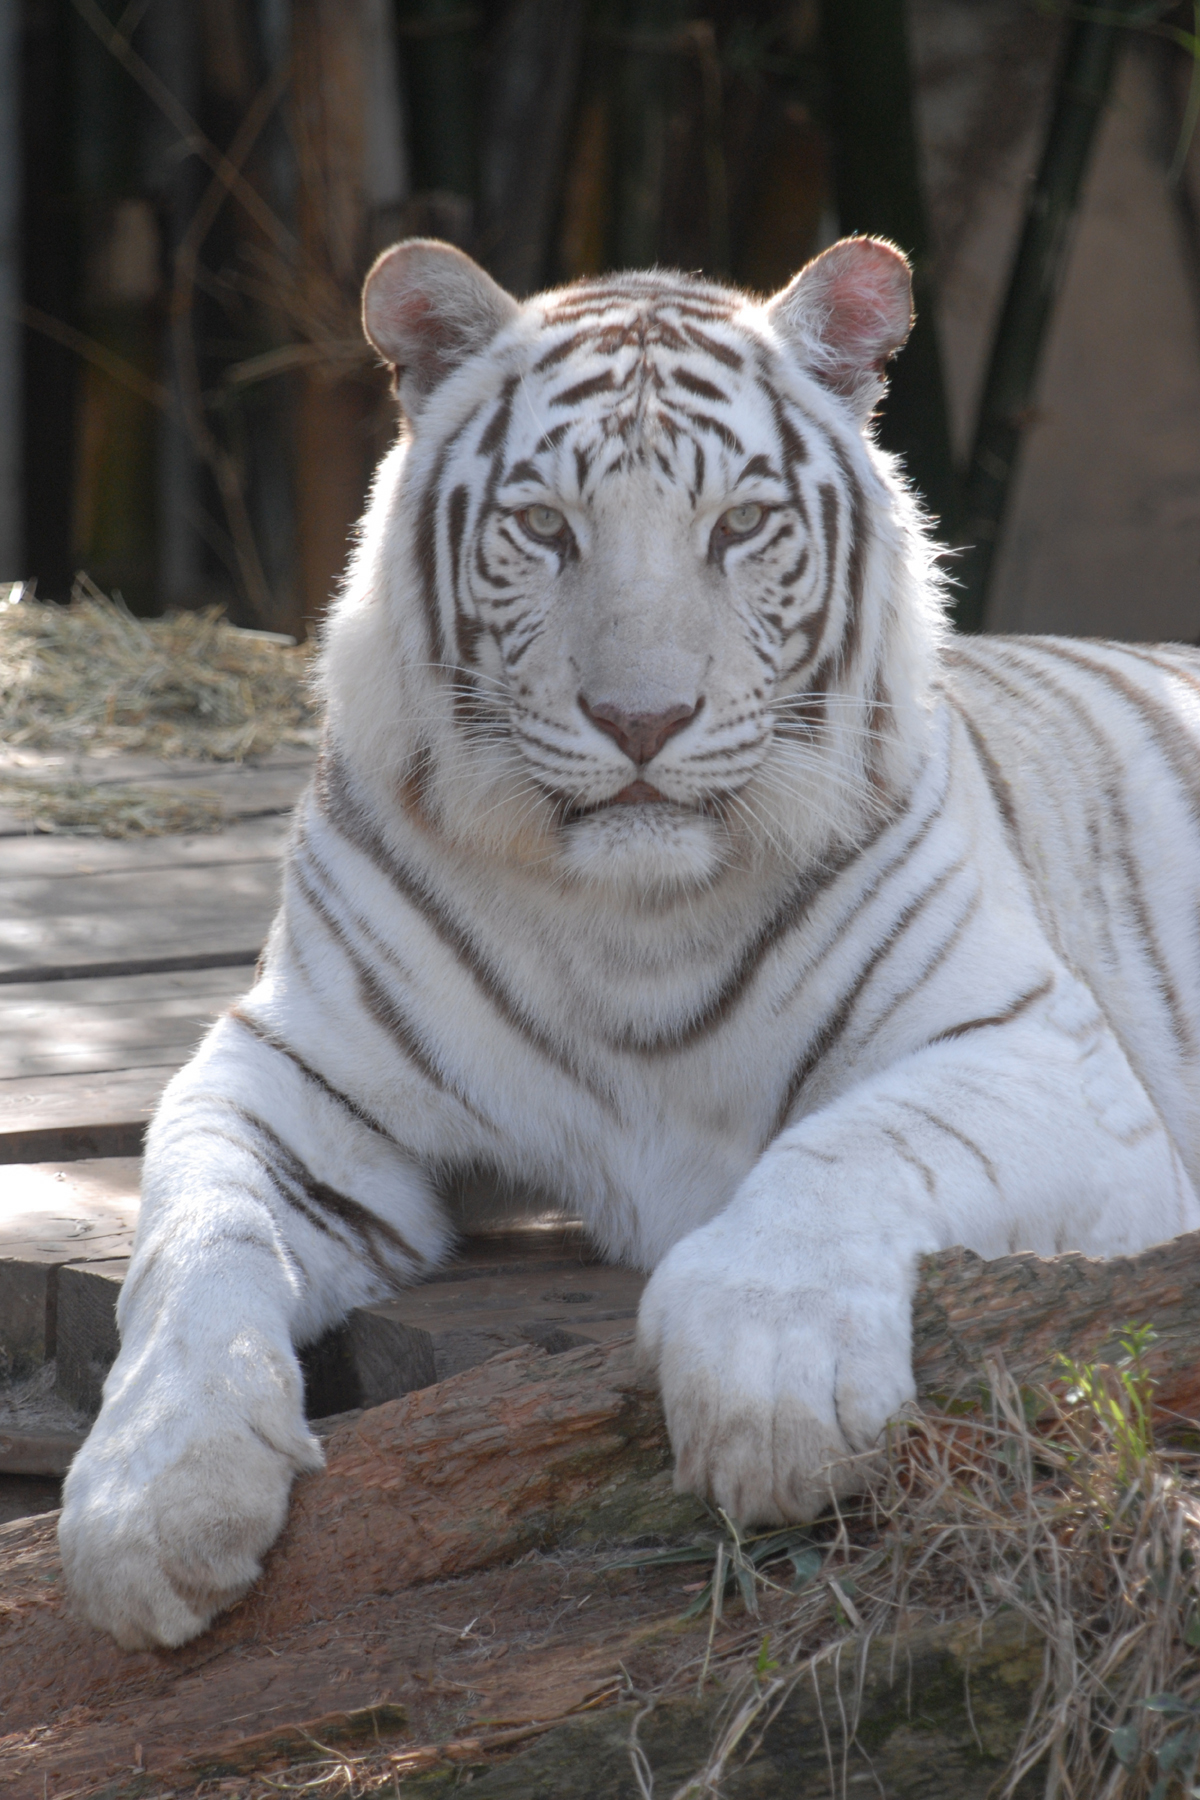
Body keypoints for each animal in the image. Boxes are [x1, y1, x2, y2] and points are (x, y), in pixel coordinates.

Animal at [59, 234, 1200, 1651]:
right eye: (546, 527)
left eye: (741, 526)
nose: (642, 721)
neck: (632, 921)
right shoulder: (292, 1074)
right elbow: (195, 1240)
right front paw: (151, 1495)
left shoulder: (1042, 1056)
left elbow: (852, 1147)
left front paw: (773, 1394)